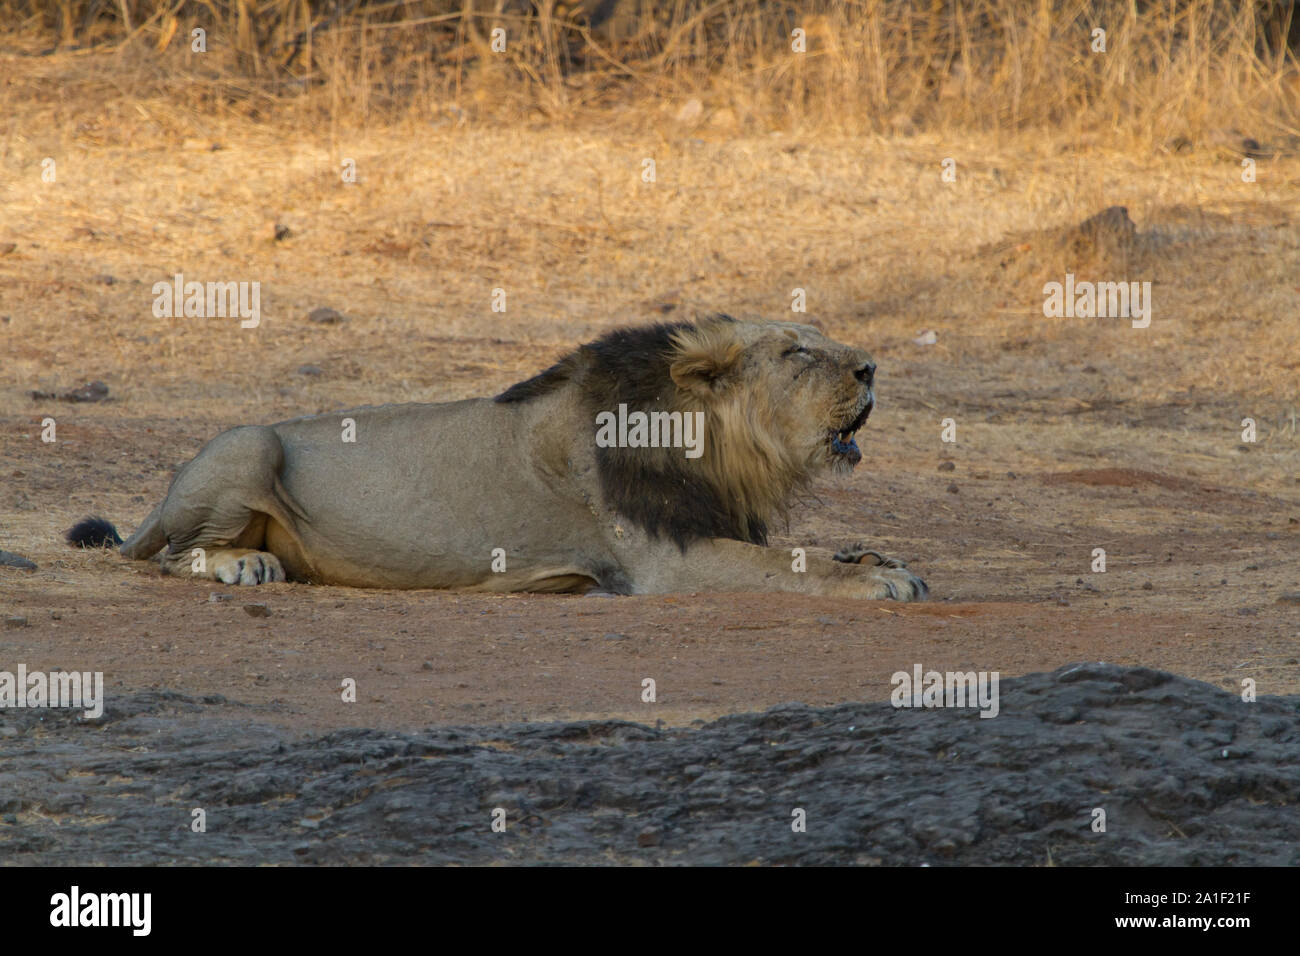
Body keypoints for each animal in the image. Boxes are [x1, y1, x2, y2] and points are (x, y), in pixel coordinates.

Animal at [70, 315, 926, 601]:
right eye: (795, 351)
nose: (871, 368)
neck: (720, 448)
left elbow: (809, 552)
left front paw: (880, 556)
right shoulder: (663, 560)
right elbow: (789, 564)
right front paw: (875, 578)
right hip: (247, 442)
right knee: (173, 554)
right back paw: (244, 565)